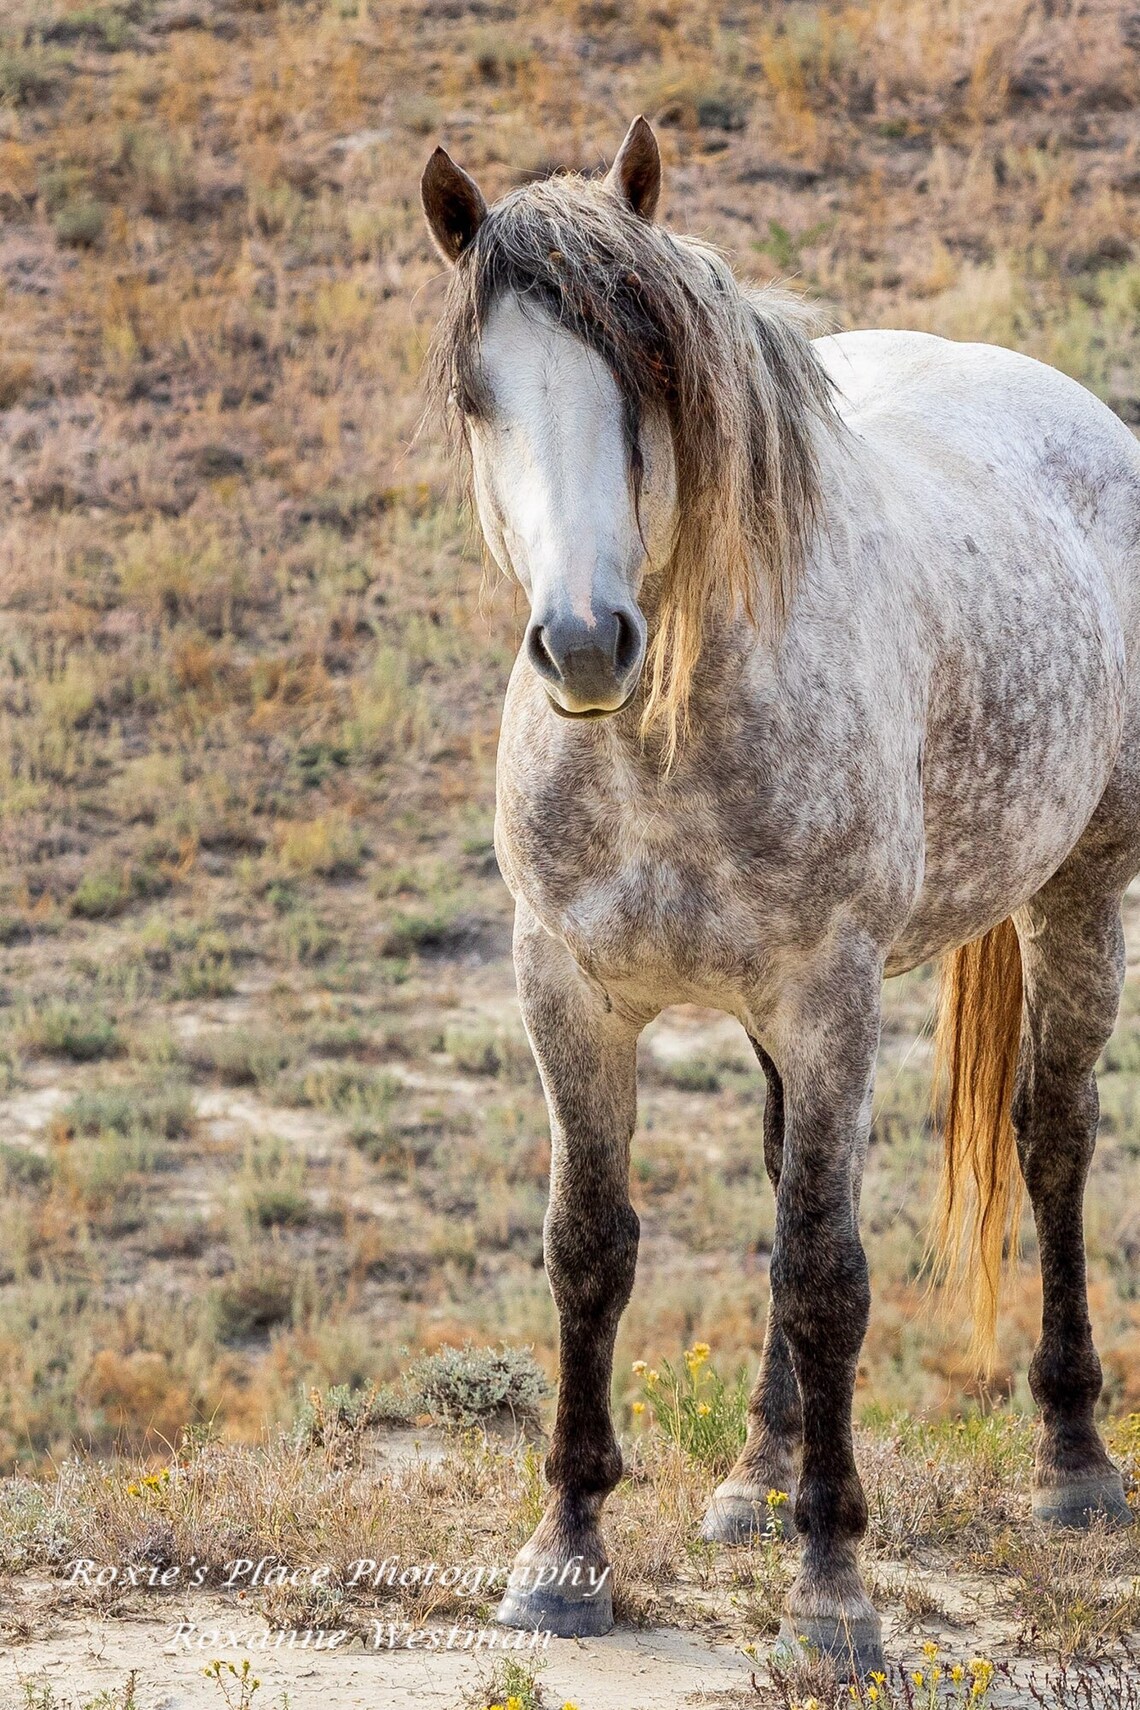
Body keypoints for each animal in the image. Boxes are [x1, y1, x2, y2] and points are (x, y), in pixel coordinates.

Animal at [420, 116, 1140, 1676]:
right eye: (476, 394)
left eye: (650, 370)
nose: (584, 641)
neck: (656, 736)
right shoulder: (566, 992)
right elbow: (591, 1249)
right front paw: (565, 1553)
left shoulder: (830, 993)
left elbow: (825, 1268)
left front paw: (835, 1586)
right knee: (782, 1169)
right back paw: (754, 1475)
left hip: (1080, 890)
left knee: (1051, 1140)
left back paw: (1073, 1461)